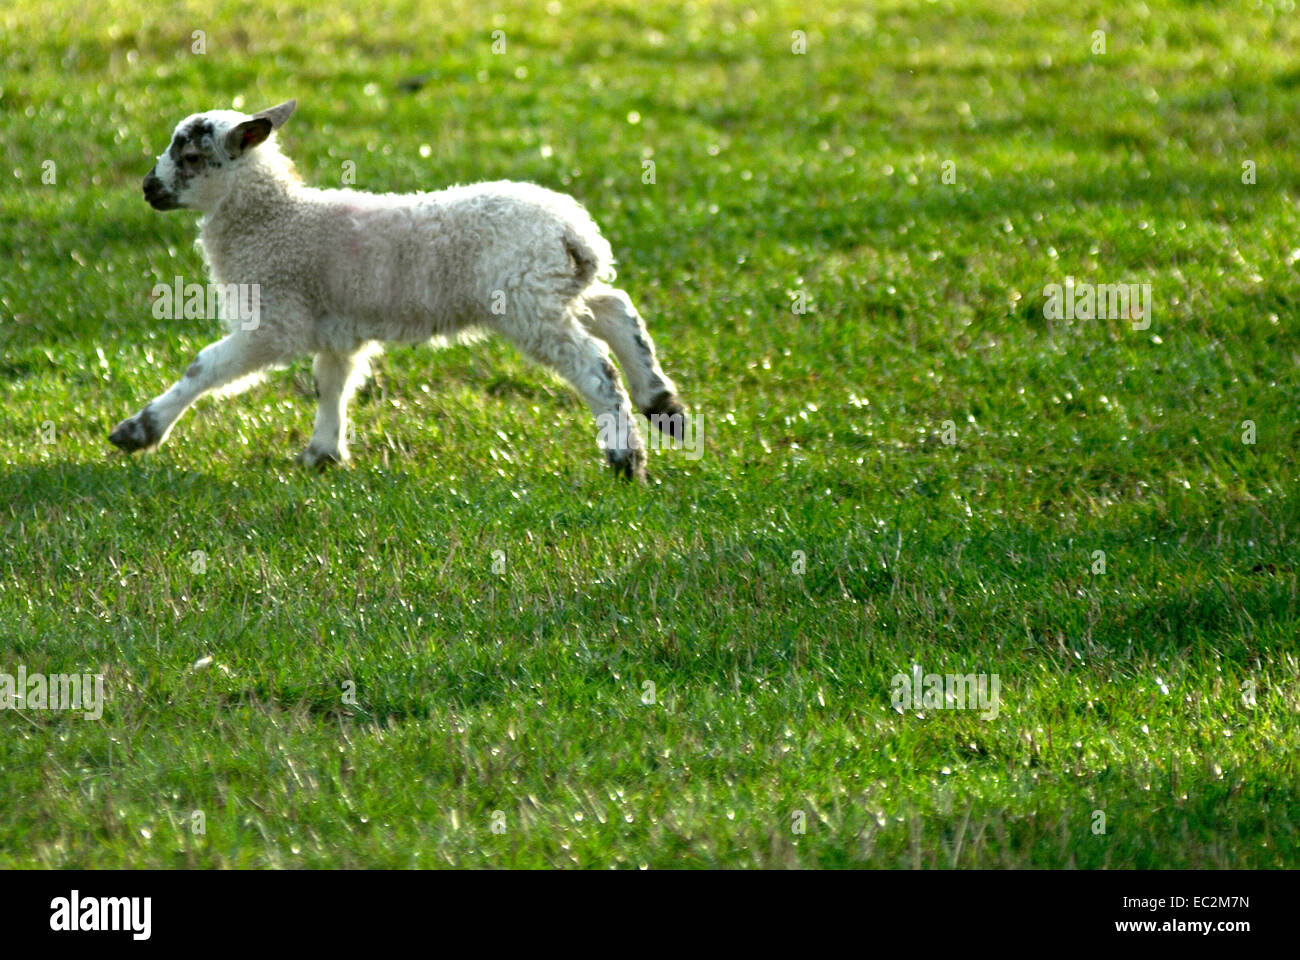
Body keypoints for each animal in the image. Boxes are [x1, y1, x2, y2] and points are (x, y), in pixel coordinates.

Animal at [110, 99, 687, 480]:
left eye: (189, 157)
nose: (147, 188)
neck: (275, 219)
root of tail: (574, 232)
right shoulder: (335, 328)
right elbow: (332, 382)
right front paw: (323, 453)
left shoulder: (276, 320)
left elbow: (203, 367)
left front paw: (140, 430)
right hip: (550, 288)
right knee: (616, 309)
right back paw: (662, 403)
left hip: (527, 301)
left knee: (594, 364)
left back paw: (625, 456)